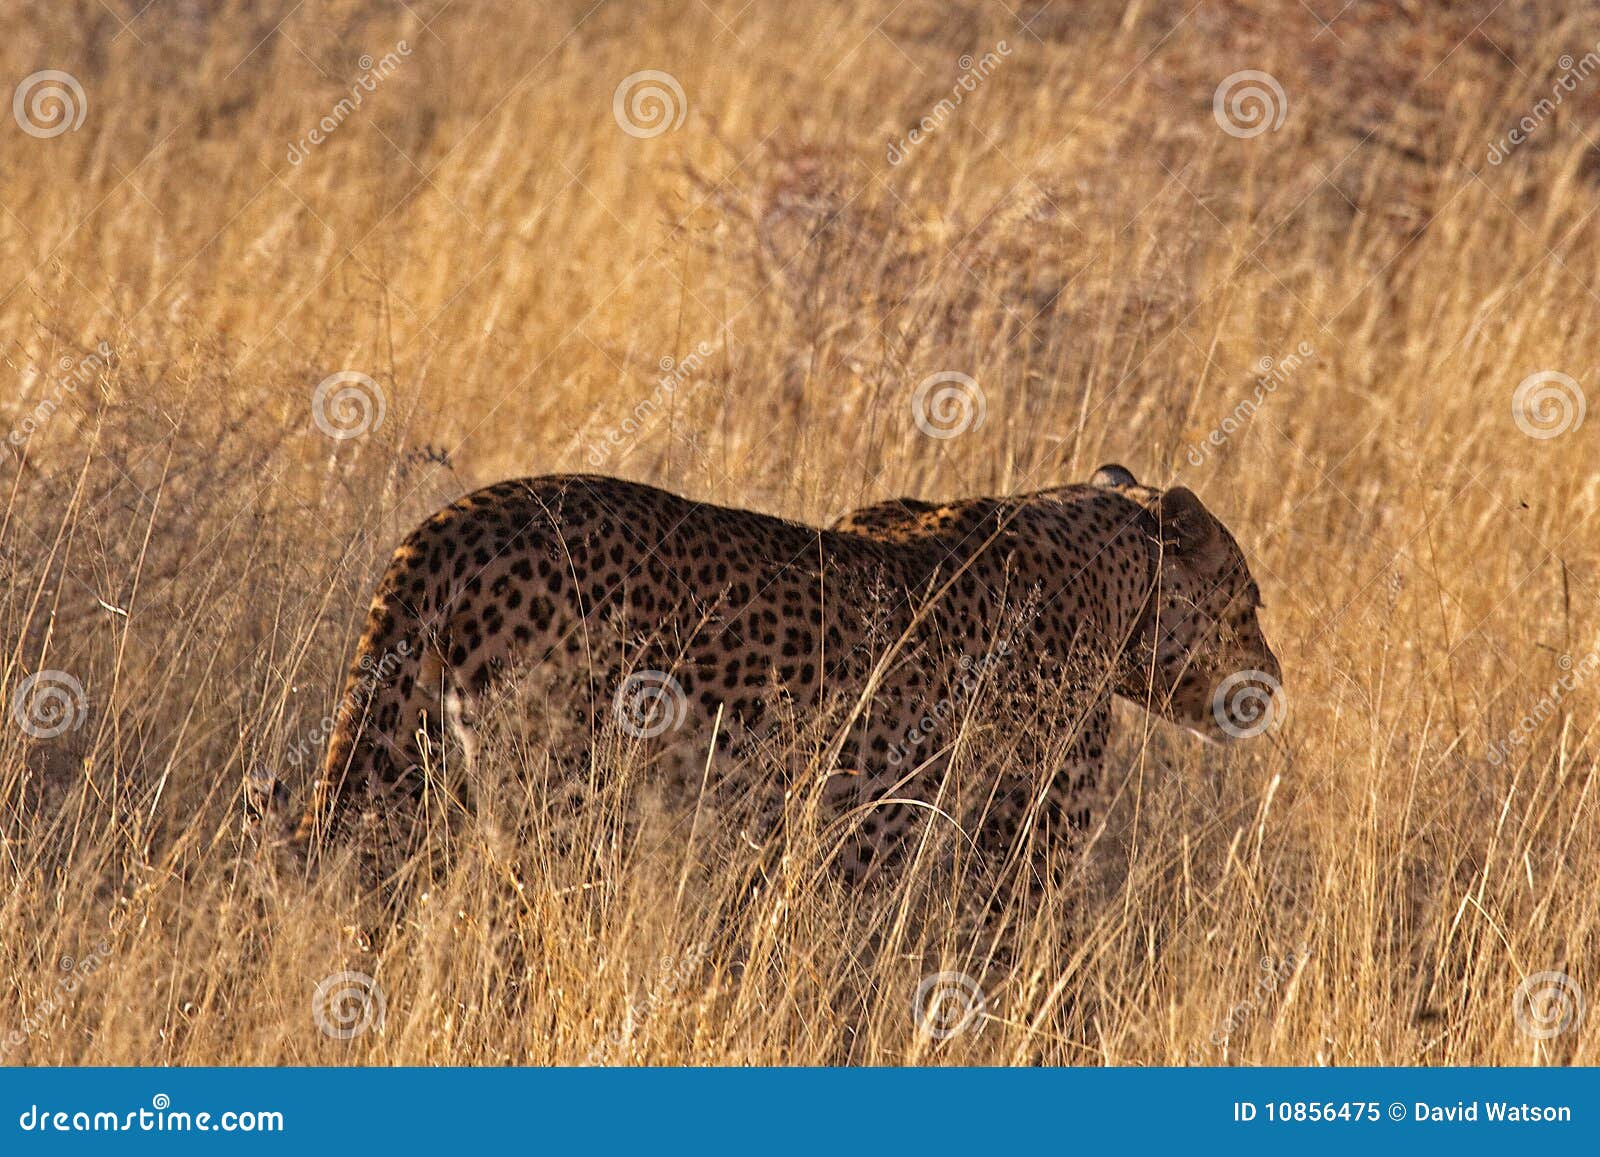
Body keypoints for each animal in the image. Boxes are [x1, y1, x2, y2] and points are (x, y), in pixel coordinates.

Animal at [261, 464, 1280, 896]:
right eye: (1254, 598)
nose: (1275, 673)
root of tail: (457, 516)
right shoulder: (997, 840)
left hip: (409, 768)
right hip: (555, 791)